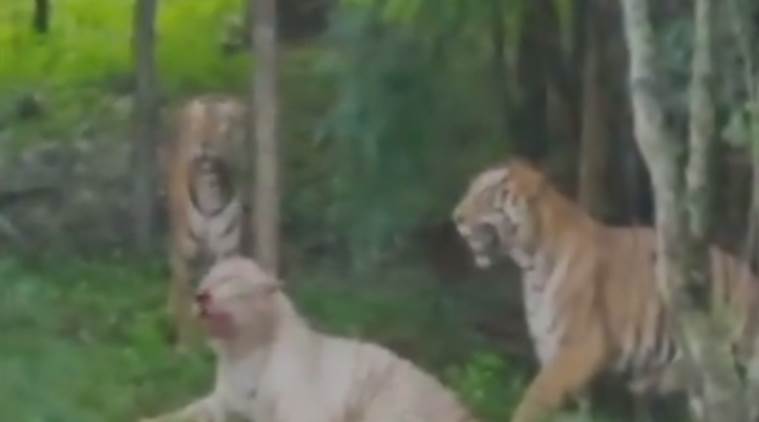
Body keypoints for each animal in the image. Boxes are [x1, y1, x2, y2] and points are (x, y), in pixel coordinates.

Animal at [165, 94, 248, 347]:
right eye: (199, 125)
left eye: (224, 124)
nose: (204, 143)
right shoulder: (186, 256)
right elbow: (184, 300)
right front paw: (186, 347)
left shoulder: (226, 252)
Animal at [451, 158, 759, 422]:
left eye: (485, 193)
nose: (456, 218)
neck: (530, 262)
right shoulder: (551, 349)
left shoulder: (582, 346)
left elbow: (534, 399)